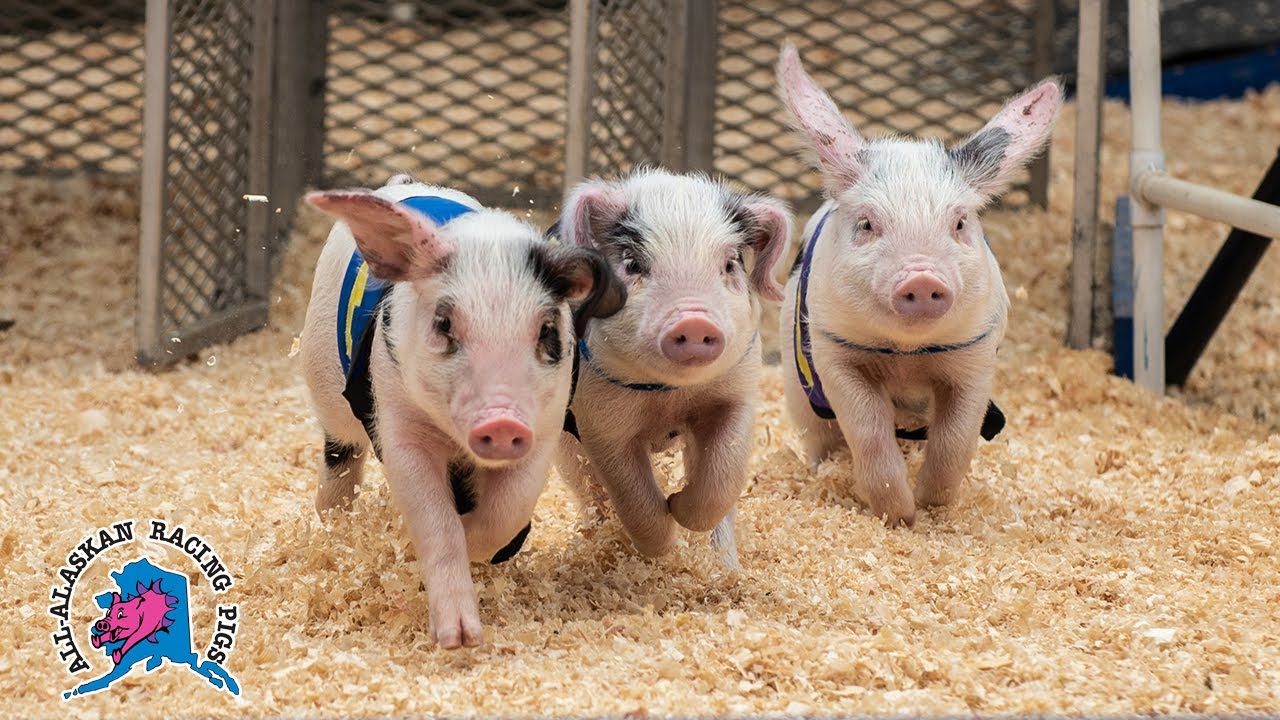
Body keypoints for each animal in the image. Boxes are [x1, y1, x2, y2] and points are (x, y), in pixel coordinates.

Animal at [298, 174, 625, 647]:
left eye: (546, 329)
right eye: (444, 323)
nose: (501, 420)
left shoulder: (543, 430)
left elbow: (506, 512)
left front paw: (476, 543)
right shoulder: (400, 427)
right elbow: (436, 520)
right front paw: (458, 640)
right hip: (323, 374)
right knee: (340, 453)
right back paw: (335, 523)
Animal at [553, 168, 792, 568]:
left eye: (730, 263)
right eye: (633, 264)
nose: (694, 320)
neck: (670, 396)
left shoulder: (738, 391)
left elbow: (722, 476)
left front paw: (679, 507)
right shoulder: (598, 416)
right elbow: (630, 493)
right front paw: (663, 544)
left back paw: (726, 565)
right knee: (587, 488)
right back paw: (594, 538)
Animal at [775, 44, 1062, 525]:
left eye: (960, 223)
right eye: (867, 224)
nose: (922, 277)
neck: (907, 357)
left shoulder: (974, 352)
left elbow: (956, 440)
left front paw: (933, 507)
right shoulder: (835, 350)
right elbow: (868, 432)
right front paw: (900, 516)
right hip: (799, 399)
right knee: (822, 438)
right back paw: (823, 470)